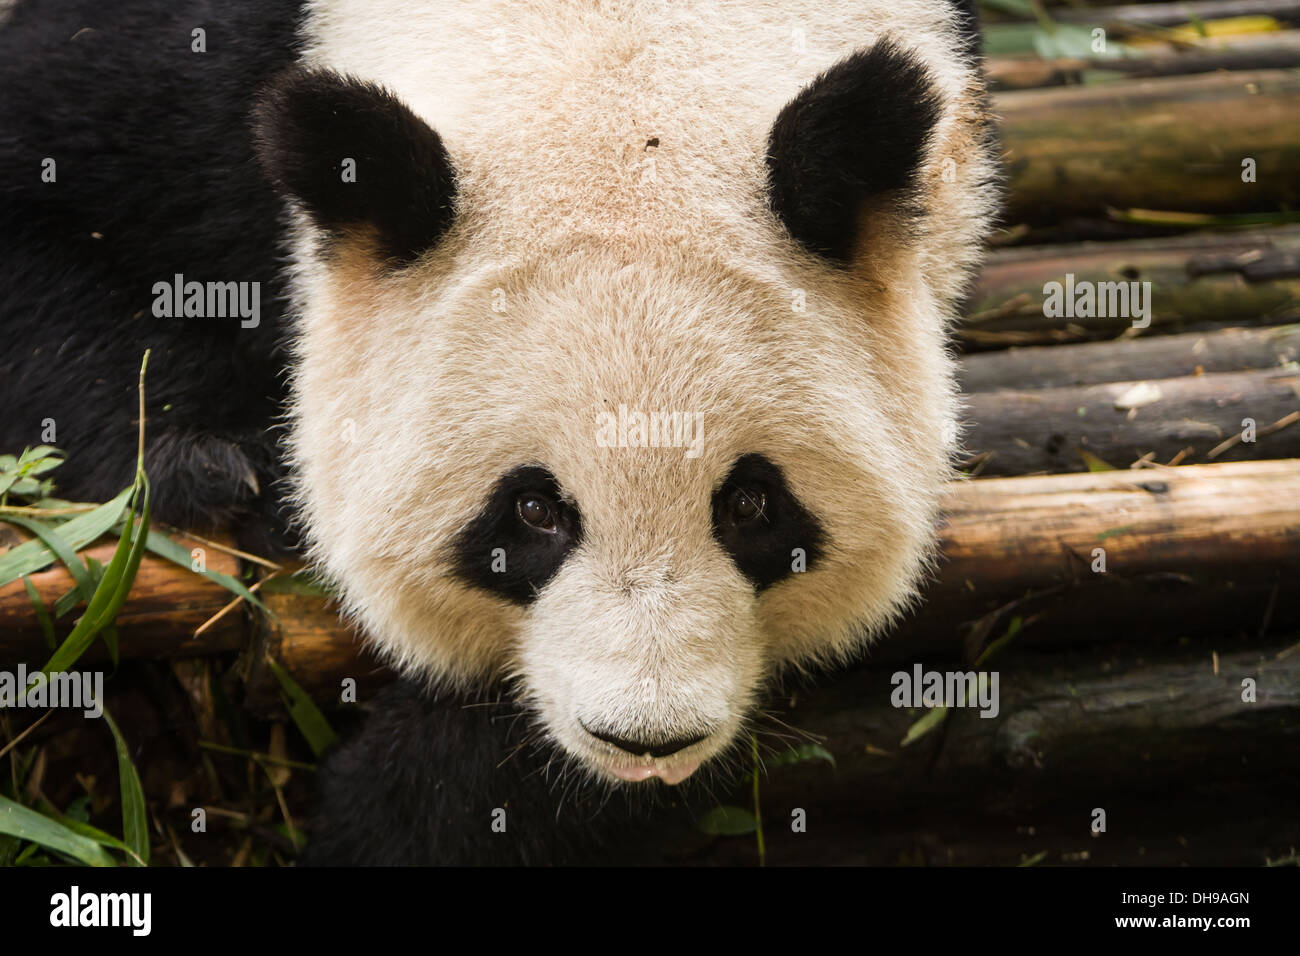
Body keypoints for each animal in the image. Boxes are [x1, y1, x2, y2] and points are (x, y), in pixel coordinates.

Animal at [0, 0, 998, 864]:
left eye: (752, 504)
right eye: (532, 512)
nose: (646, 737)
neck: (606, 45)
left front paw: (400, 806)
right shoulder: (175, 72)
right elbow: (47, 211)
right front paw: (208, 469)